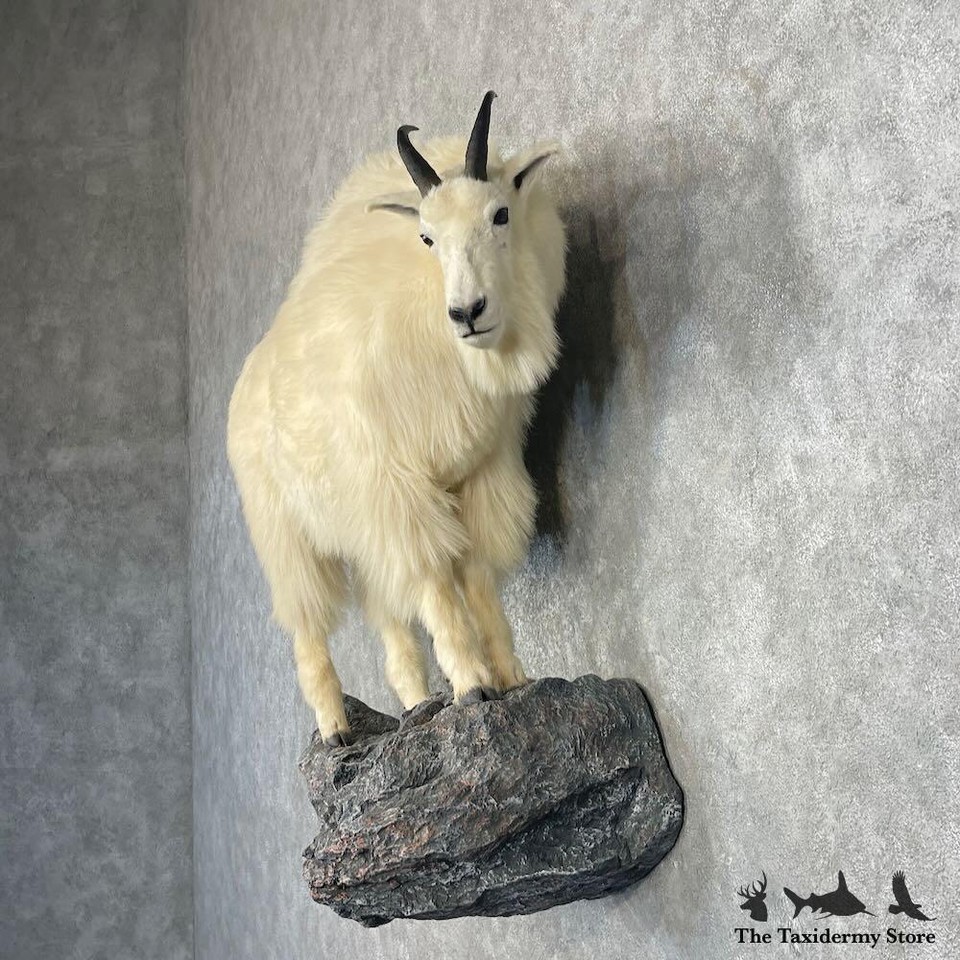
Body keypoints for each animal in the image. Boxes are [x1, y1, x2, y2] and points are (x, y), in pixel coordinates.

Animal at [227, 92, 566, 744]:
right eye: (427, 237)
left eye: (500, 214)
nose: (468, 312)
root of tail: (249, 379)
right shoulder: (399, 489)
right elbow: (437, 587)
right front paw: (472, 687)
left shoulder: (482, 475)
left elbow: (478, 580)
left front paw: (512, 678)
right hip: (285, 534)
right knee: (308, 626)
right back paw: (336, 729)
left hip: (358, 529)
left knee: (388, 619)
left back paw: (414, 704)